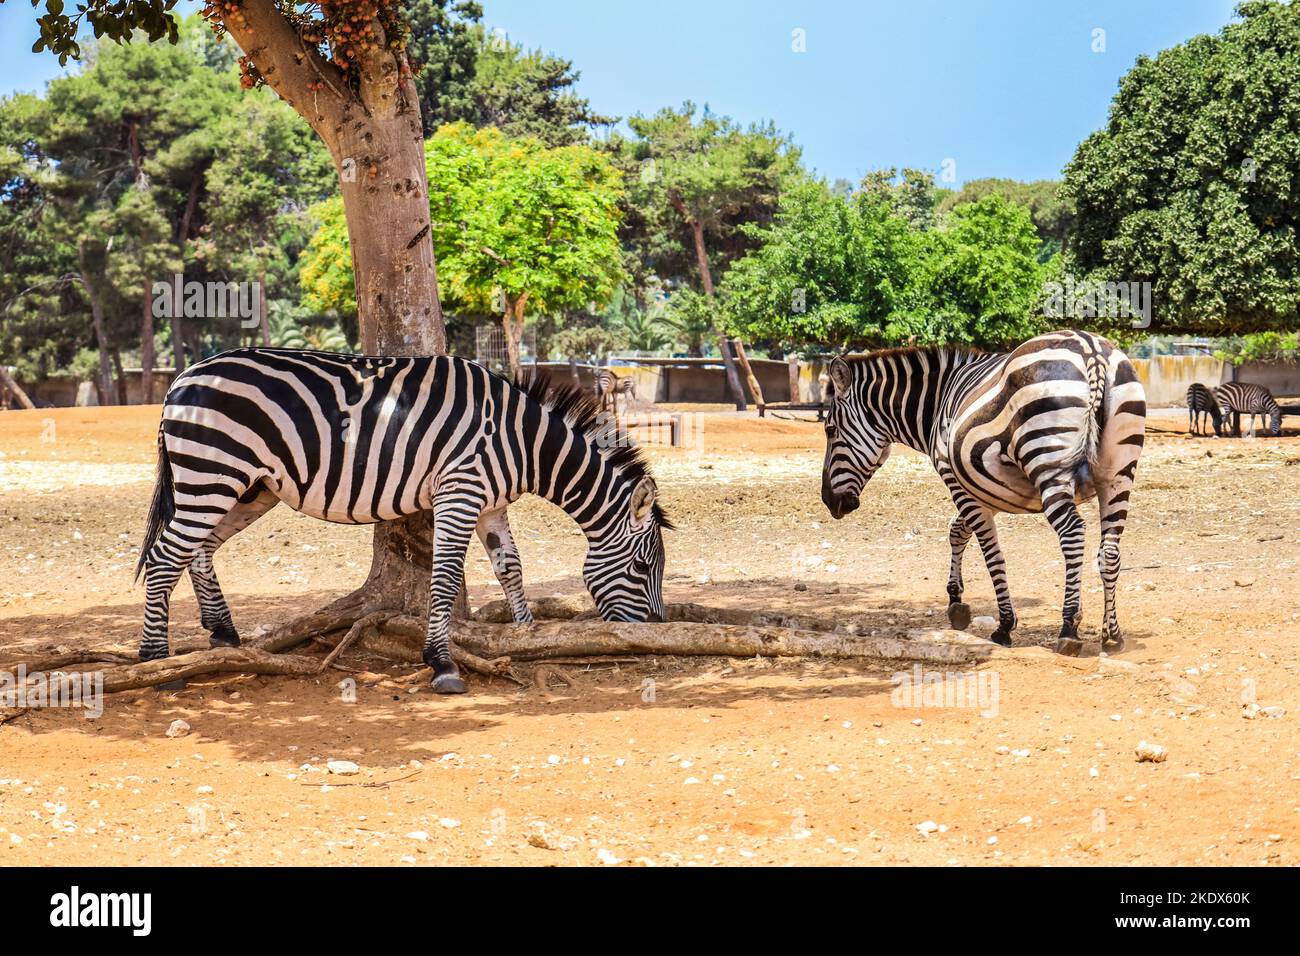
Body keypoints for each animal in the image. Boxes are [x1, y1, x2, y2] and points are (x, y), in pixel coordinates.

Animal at [136, 349, 672, 694]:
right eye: (643, 568)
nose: (655, 635)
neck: (523, 442)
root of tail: (183, 376)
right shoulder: (461, 491)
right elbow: (446, 577)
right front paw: (441, 663)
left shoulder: (491, 503)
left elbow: (511, 568)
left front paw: (527, 637)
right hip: (214, 472)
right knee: (164, 557)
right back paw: (157, 665)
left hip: (250, 486)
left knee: (199, 549)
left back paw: (223, 633)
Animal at [821, 330, 1147, 656]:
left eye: (830, 430)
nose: (828, 500)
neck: (937, 402)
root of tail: (1090, 349)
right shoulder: (990, 488)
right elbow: (958, 531)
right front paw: (956, 602)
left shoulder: (957, 480)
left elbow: (991, 553)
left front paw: (1004, 625)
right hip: (1118, 473)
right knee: (1110, 552)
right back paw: (1111, 635)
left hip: (1047, 463)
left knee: (1072, 533)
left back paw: (1068, 628)